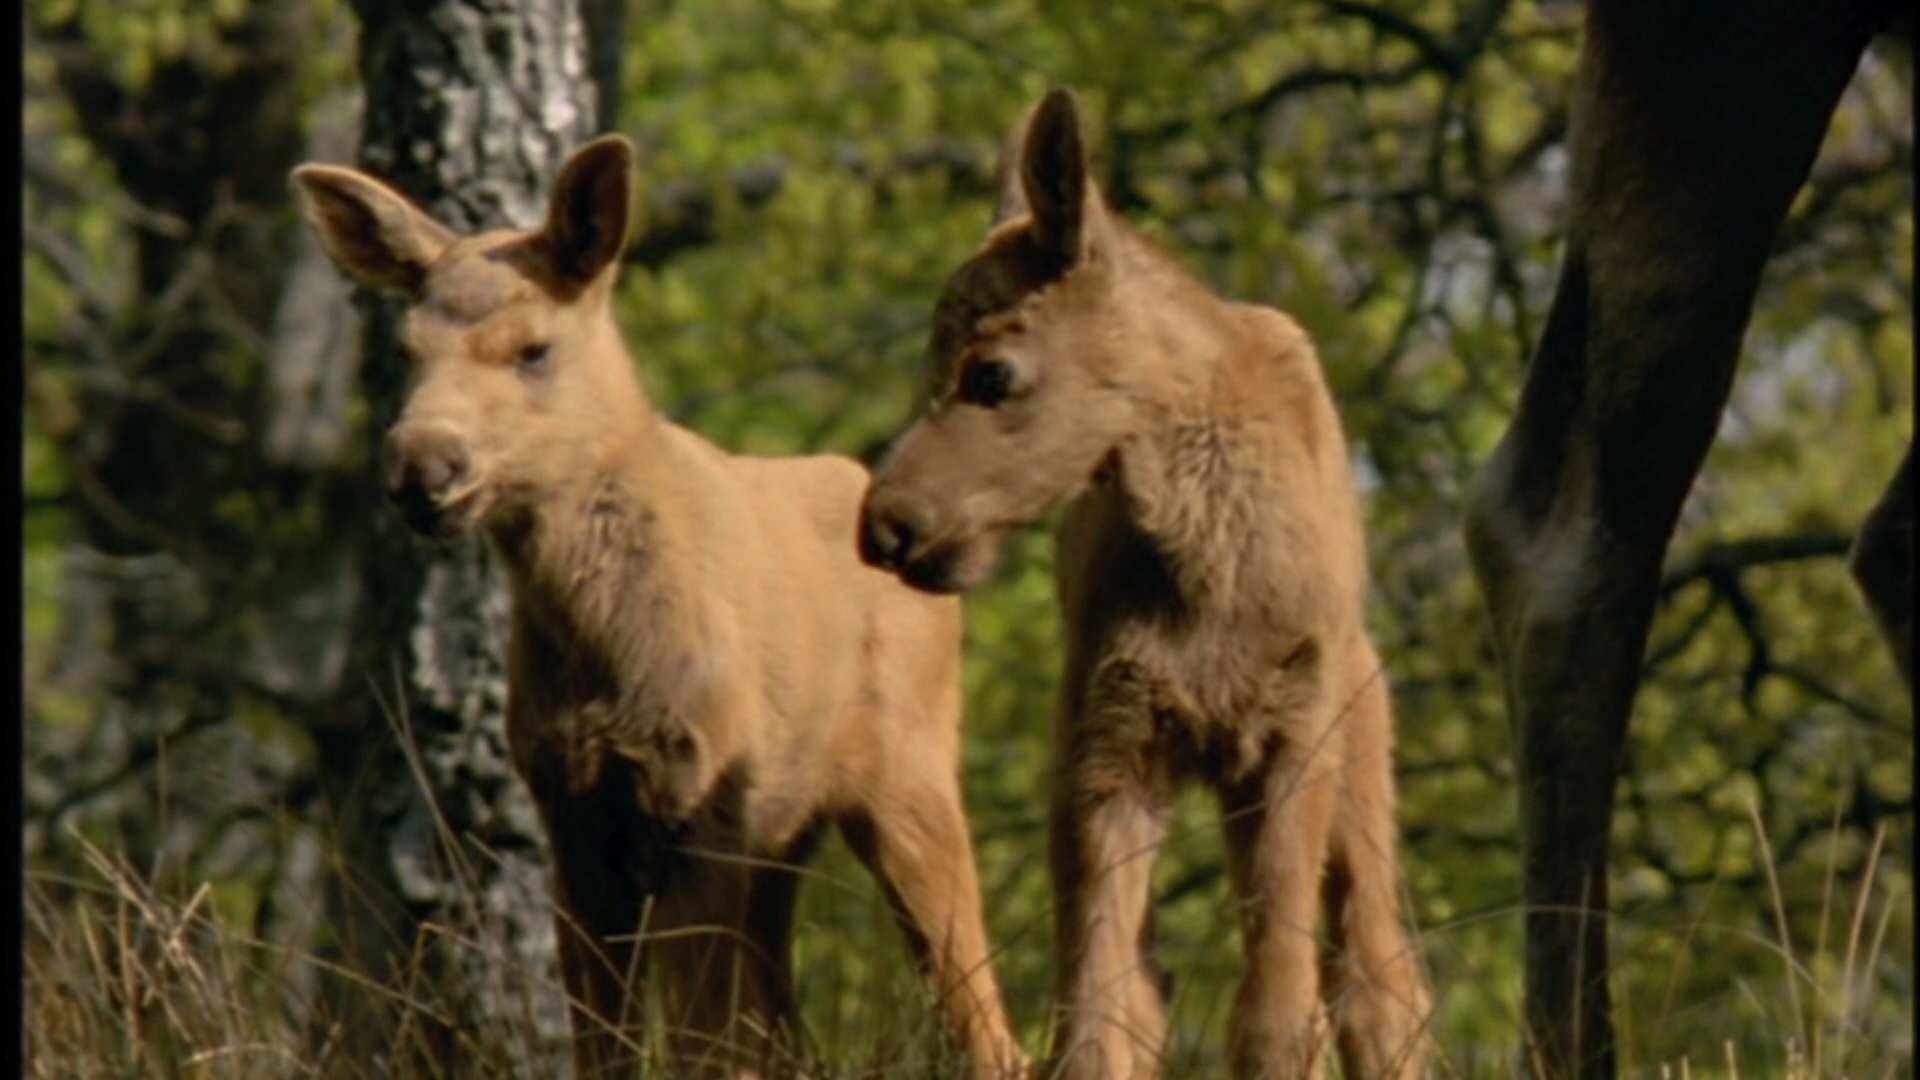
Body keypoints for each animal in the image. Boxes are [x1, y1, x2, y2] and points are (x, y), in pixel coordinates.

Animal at [291, 135, 1027, 1080]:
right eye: (411, 350)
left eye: (534, 349)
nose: (424, 469)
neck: (608, 653)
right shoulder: (574, 818)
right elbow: (606, 1045)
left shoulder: (696, 807)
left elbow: (702, 1045)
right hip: (783, 838)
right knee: (785, 1033)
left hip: (912, 773)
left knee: (988, 1031)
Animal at [858, 90, 1432, 1080]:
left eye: (991, 371)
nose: (888, 524)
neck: (1214, 571)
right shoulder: (1113, 744)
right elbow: (1102, 1014)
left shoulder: (1295, 732)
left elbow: (1278, 1015)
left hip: (1357, 740)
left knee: (1380, 977)